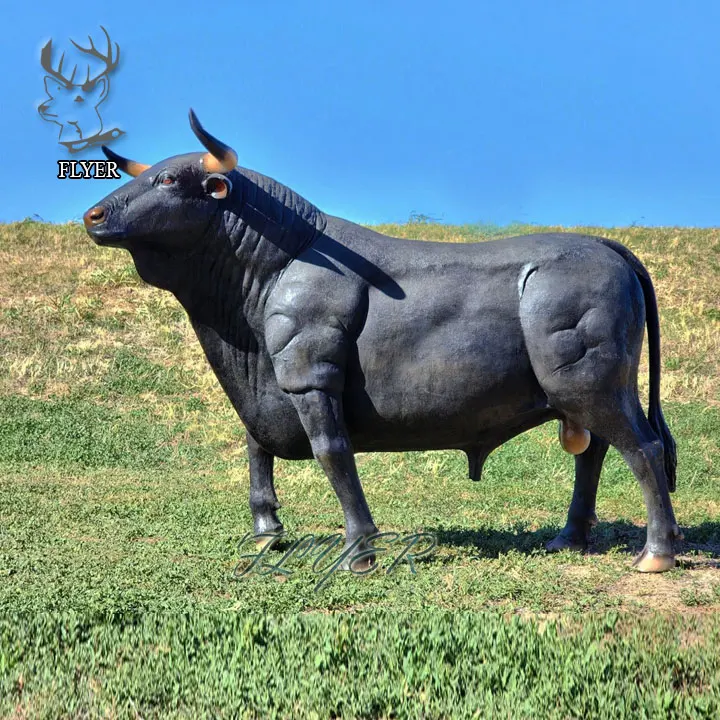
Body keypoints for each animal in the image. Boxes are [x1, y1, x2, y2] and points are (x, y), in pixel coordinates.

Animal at [83, 110, 681, 573]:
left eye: (168, 181)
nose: (94, 213)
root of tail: (604, 246)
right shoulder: (267, 386)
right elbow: (255, 446)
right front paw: (266, 531)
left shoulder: (309, 376)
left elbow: (332, 453)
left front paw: (359, 551)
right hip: (586, 392)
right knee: (596, 451)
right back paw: (568, 538)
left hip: (591, 383)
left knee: (643, 447)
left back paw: (655, 554)